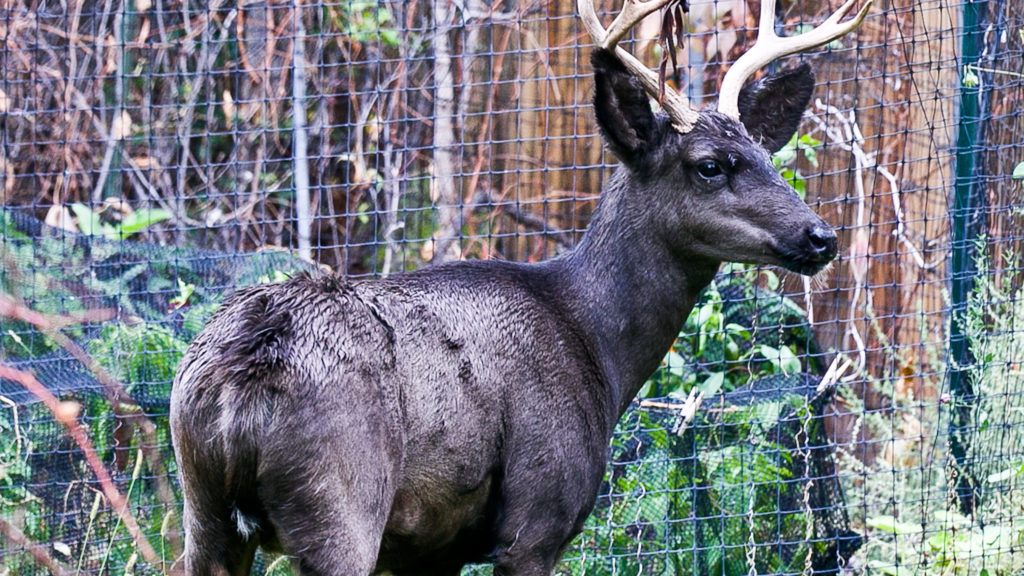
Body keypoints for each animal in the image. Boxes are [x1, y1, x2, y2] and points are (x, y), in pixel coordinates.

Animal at [170, 0, 869, 573]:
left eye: (766, 155)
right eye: (709, 166)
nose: (821, 238)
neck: (597, 344)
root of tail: (238, 381)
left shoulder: (429, 549)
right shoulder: (538, 516)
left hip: (205, 517)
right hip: (340, 504)